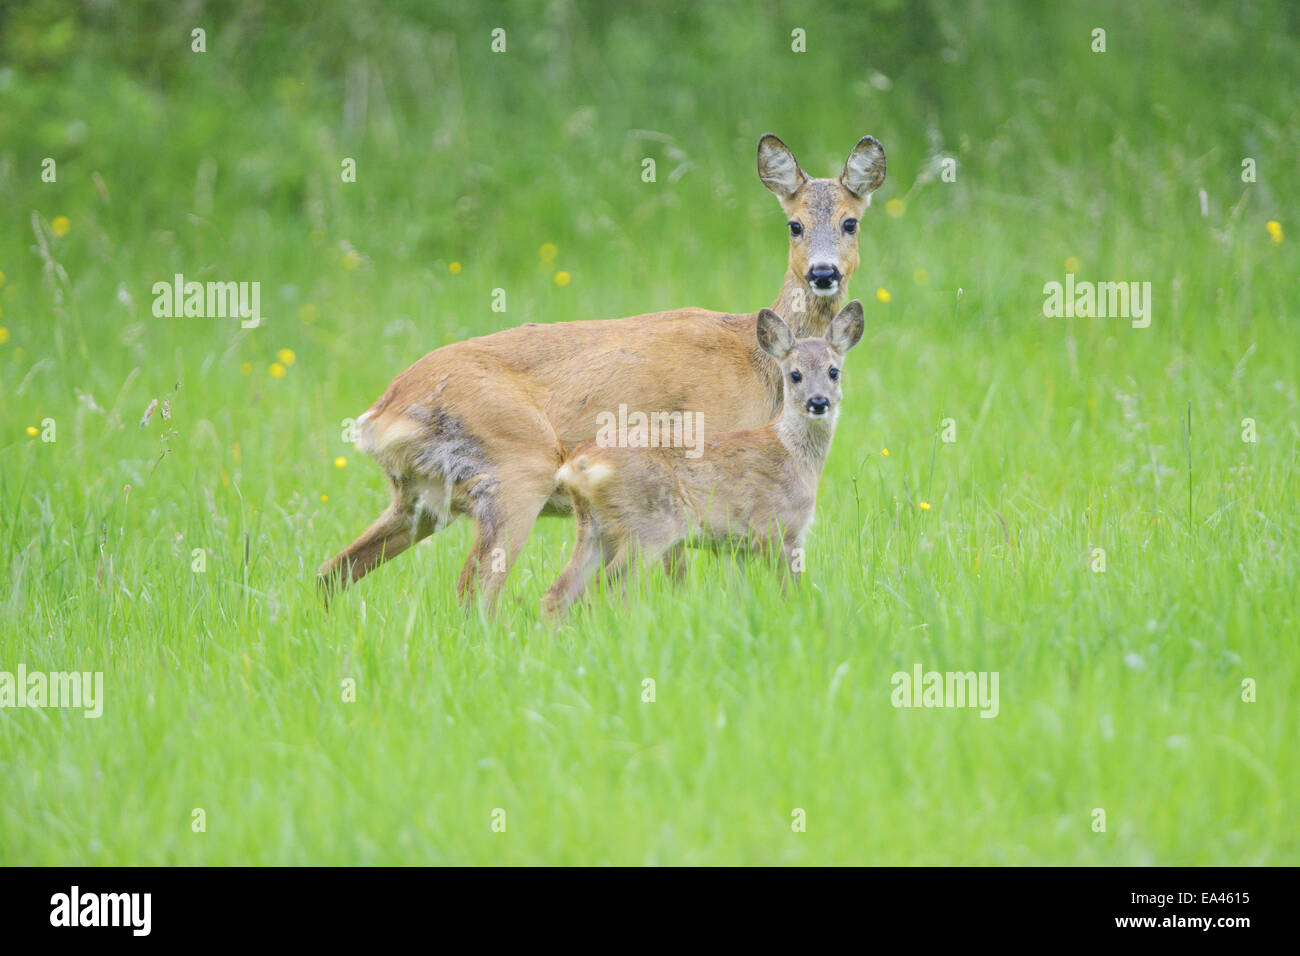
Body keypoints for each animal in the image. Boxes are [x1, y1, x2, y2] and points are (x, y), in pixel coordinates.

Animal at [540, 302, 864, 620]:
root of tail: (577, 465)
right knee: (604, 589)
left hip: (595, 528)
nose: (818, 402)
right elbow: (791, 593)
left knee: (558, 594)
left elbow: (739, 593)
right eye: (795, 374)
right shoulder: (777, 527)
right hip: (649, 525)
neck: (793, 454)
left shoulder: (737, 545)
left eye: (834, 371)